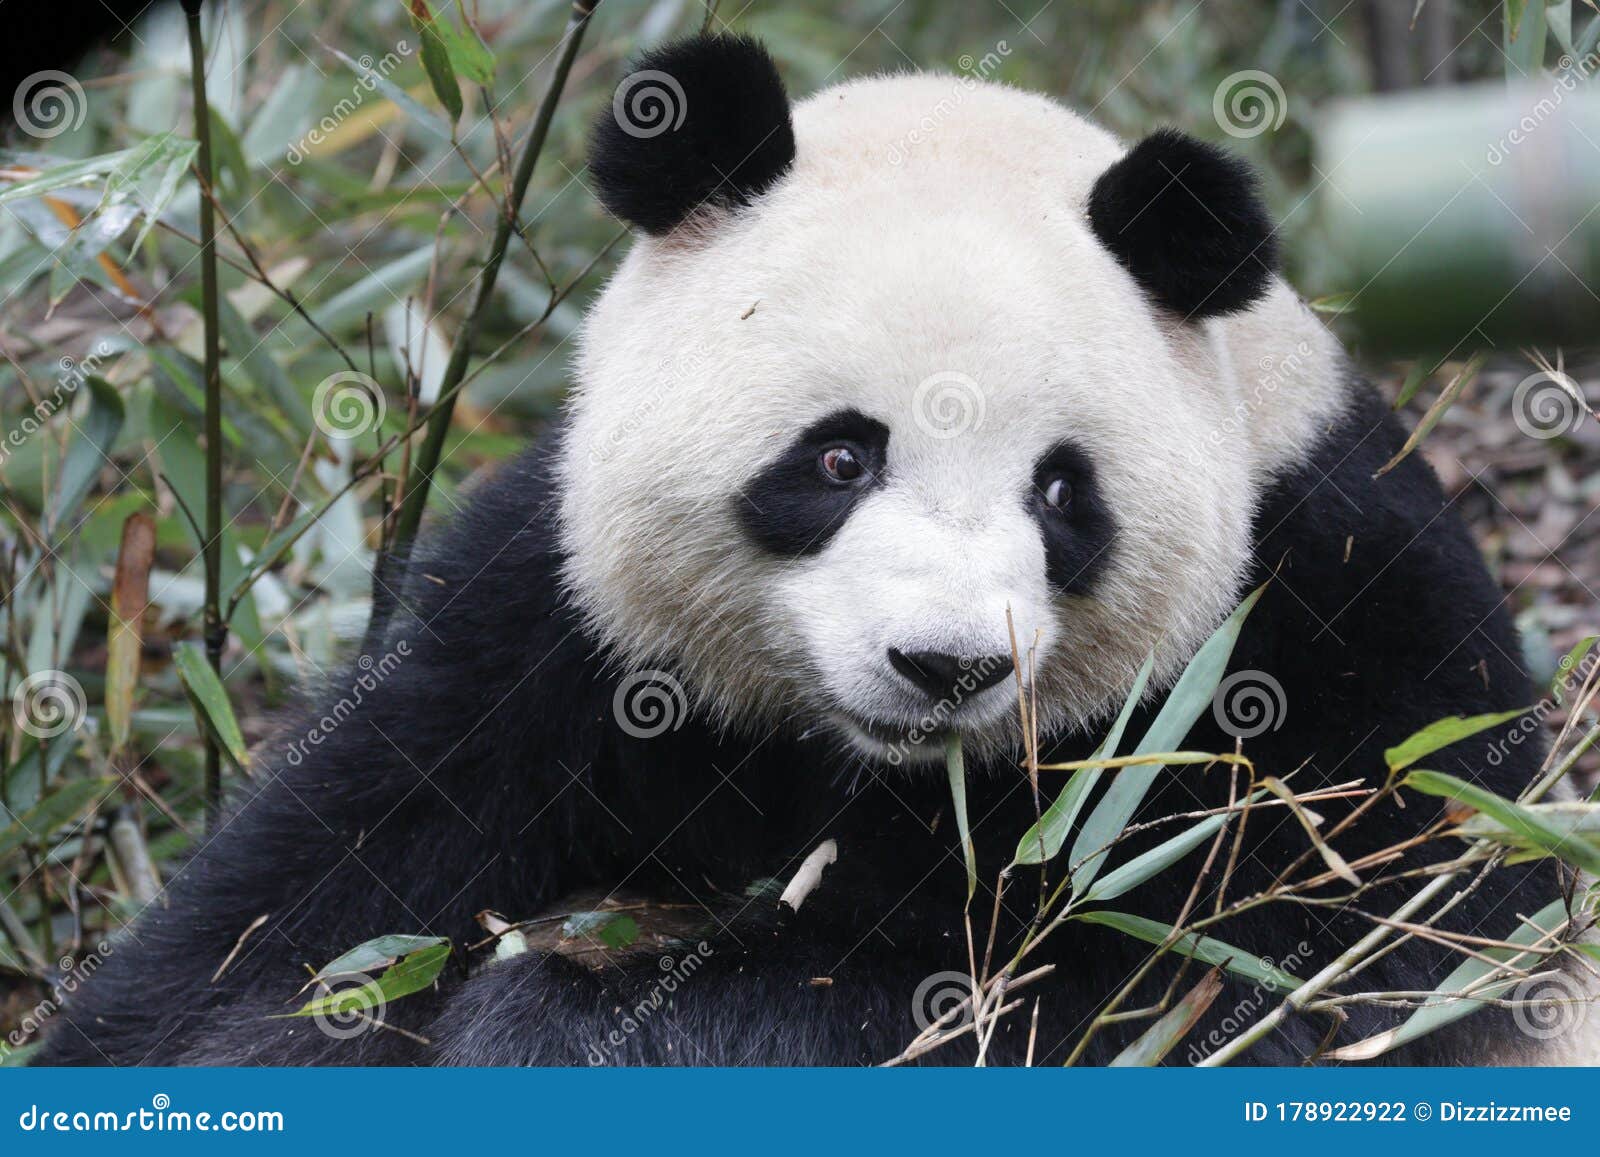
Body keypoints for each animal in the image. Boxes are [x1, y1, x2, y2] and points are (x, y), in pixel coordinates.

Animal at [41, 34, 1597, 1067]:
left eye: (1060, 494)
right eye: (841, 458)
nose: (943, 664)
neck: (888, 772)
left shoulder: (1329, 634)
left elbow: (1252, 967)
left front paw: (557, 1022)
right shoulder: (550, 629)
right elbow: (274, 940)